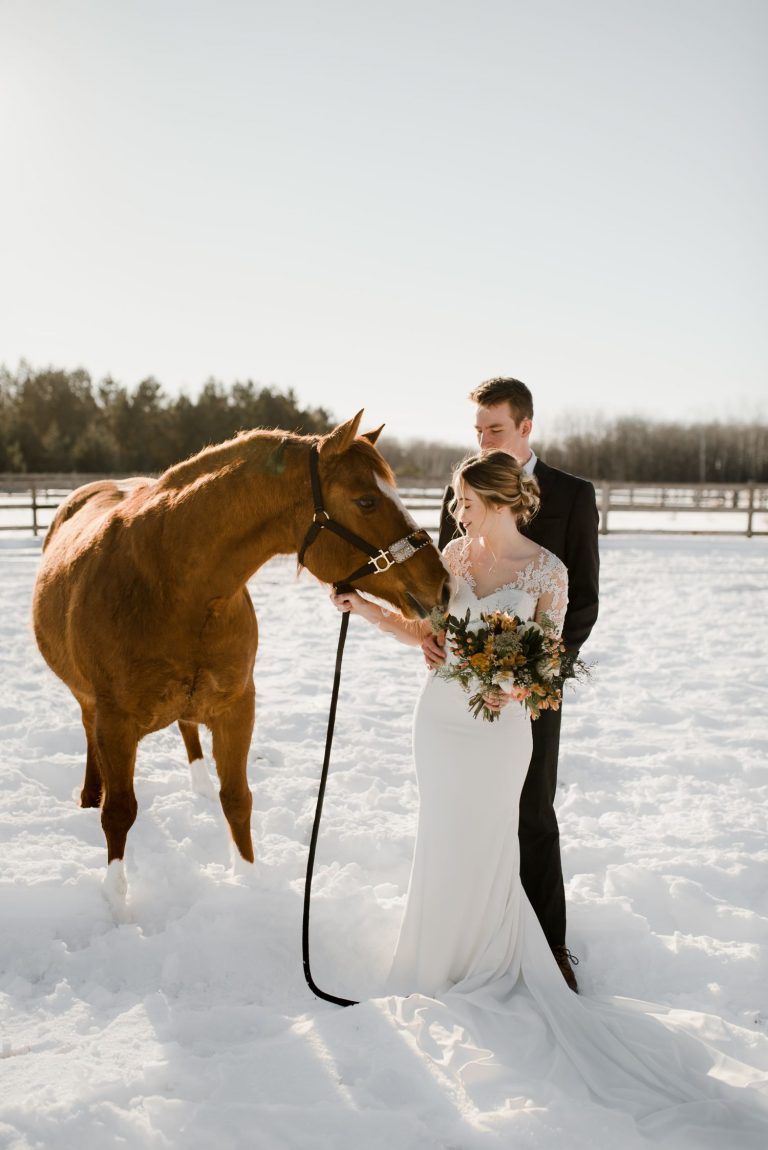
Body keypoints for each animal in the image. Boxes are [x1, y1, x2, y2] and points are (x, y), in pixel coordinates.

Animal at [32, 411, 449, 895]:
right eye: (366, 501)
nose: (442, 584)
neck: (173, 586)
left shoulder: (236, 707)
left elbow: (237, 799)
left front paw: (248, 883)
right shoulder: (115, 721)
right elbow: (119, 812)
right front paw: (116, 900)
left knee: (188, 728)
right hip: (89, 703)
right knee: (88, 731)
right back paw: (88, 795)